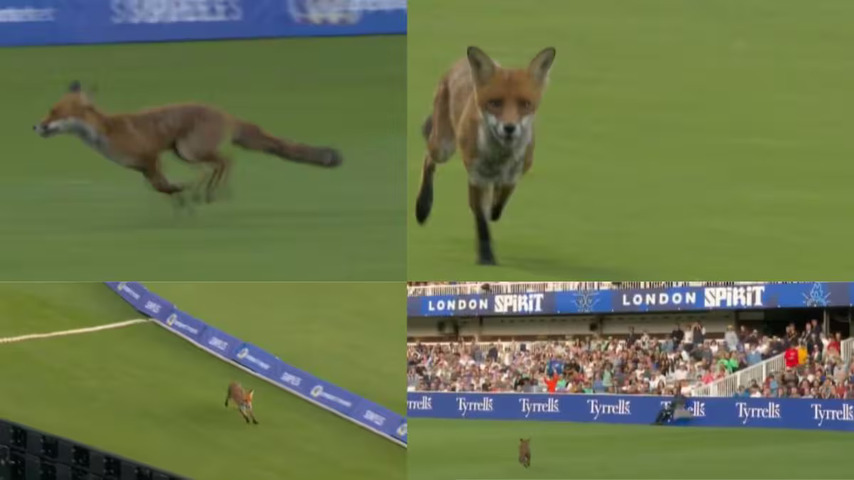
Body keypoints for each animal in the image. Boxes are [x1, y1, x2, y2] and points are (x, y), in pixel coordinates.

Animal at [33, 81, 342, 205]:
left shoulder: (151, 157)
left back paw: (209, 192)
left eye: (55, 114)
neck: (107, 134)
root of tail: (225, 113)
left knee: (223, 162)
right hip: (184, 152)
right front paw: (177, 196)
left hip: (187, 151)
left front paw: (181, 194)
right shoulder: (144, 167)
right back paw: (208, 192)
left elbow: (162, 184)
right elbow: (159, 187)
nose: (35, 126)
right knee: (220, 164)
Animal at [415, 46, 556, 265]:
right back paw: (423, 206)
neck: (500, 158)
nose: (509, 128)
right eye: (495, 103)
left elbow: (500, 201)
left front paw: (494, 210)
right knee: (428, 160)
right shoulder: (477, 177)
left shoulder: (514, 175)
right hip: (443, 147)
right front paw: (486, 257)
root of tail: (459, 63)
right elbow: (481, 222)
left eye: (525, 104)